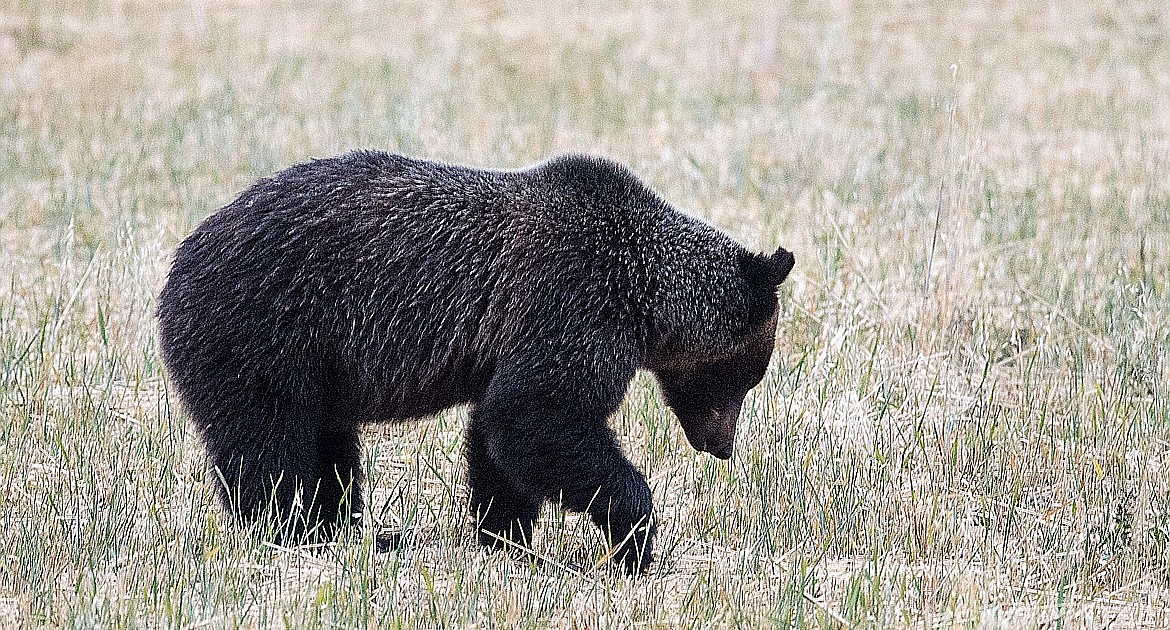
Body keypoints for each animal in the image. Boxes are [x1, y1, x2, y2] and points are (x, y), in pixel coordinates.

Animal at [156, 151, 795, 573]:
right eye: (750, 374)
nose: (722, 445)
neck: (643, 292)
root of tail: (175, 270)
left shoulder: (518, 338)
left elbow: (497, 434)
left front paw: (506, 538)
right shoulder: (570, 301)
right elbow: (536, 416)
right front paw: (633, 537)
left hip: (317, 367)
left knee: (328, 450)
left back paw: (352, 531)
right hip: (265, 334)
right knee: (270, 448)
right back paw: (295, 535)